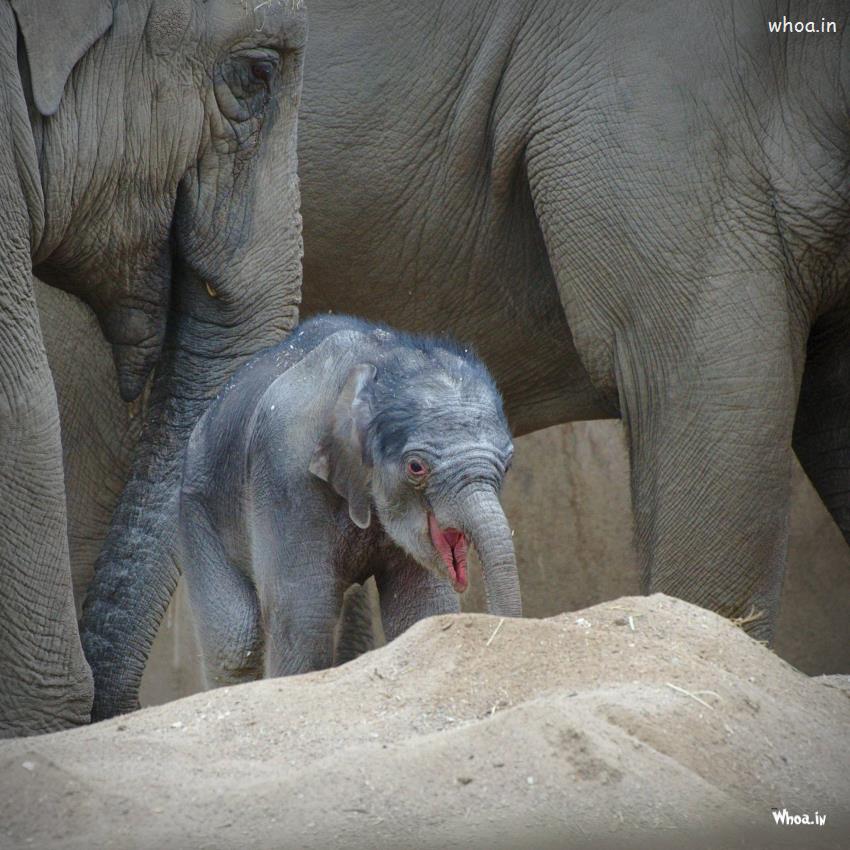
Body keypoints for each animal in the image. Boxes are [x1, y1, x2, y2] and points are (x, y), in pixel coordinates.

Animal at [179, 315, 520, 686]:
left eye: (508, 462)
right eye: (416, 467)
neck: (379, 357)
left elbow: (421, 607)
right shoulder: (284, 466)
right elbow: (304, 612)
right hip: (196, 506)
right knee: (236, 642)